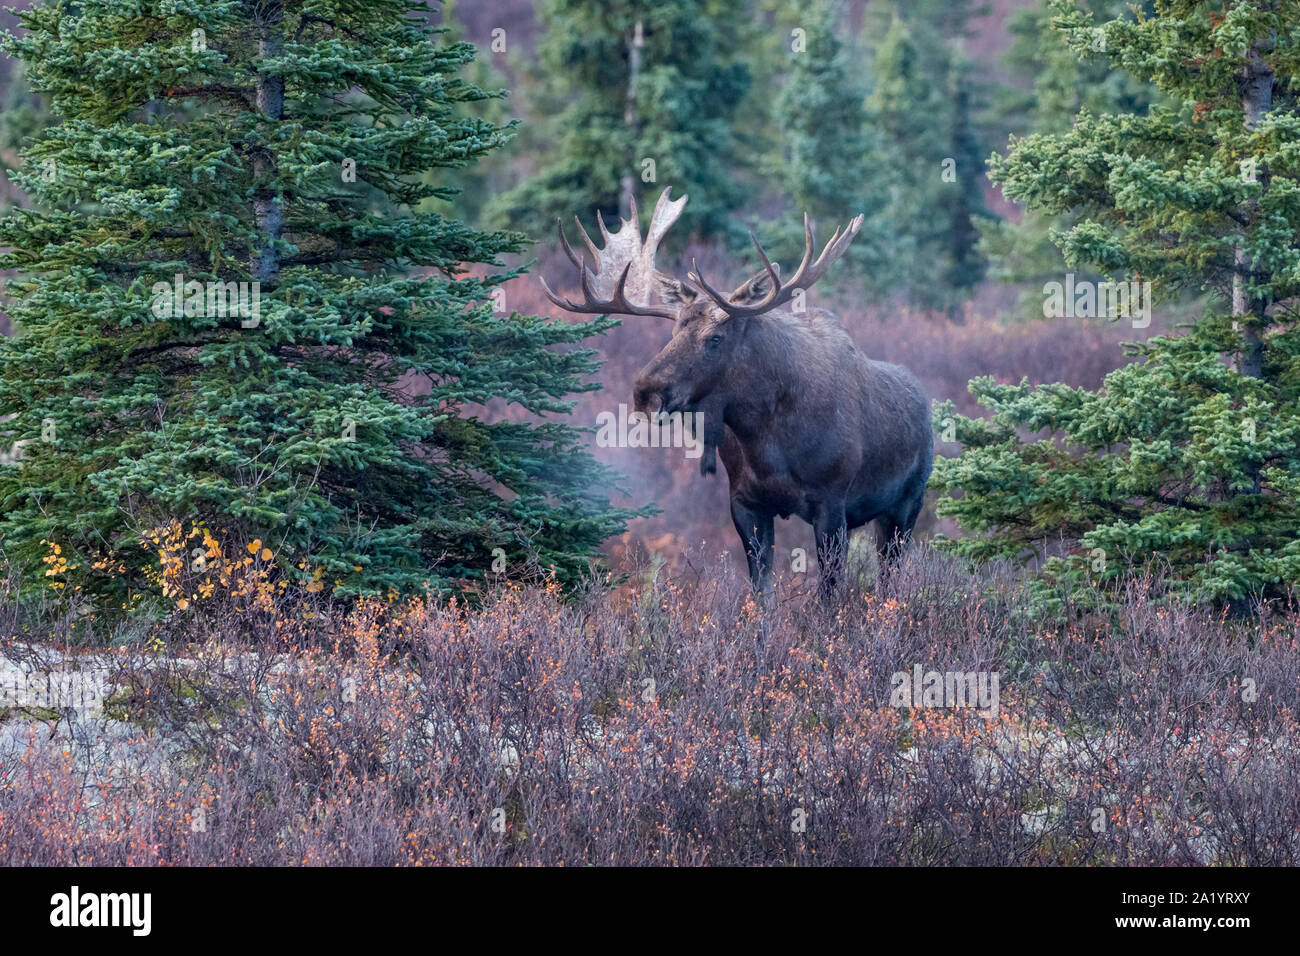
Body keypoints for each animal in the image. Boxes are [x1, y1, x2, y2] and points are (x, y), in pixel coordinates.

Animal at [540, 188, 933, 597]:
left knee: (890, 574)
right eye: (674, 330)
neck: (766, 441)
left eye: (715, 338)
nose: (645, 393)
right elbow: (760, 592)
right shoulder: (745, 502)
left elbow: (828, 594)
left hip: (907, 504)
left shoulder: (833, 501)